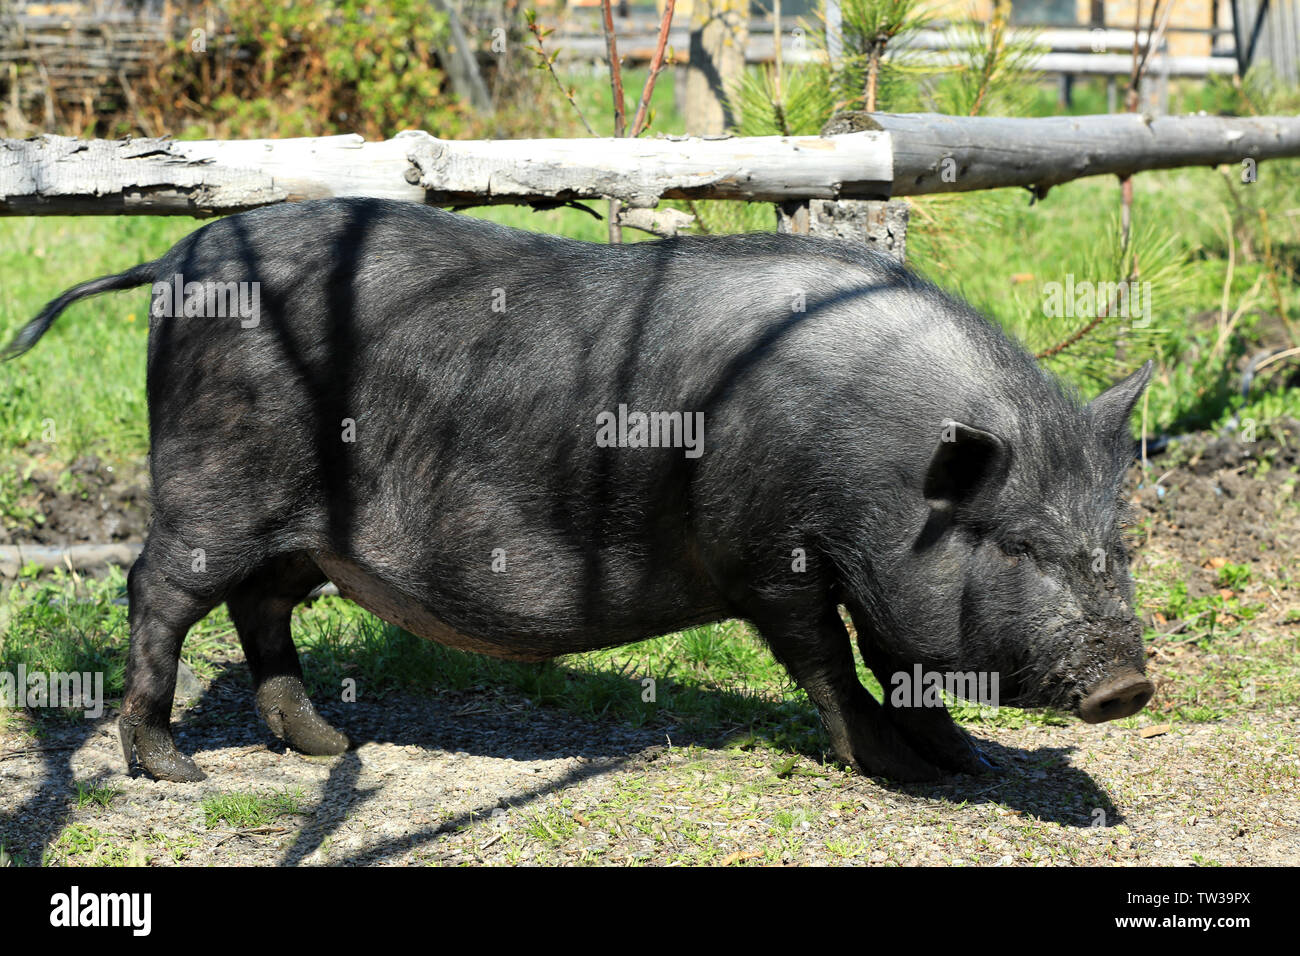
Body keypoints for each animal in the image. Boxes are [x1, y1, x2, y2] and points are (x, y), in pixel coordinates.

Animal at [4, 197, 1154, 783]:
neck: (881, 461)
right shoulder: (770, 552)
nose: (1127, 686)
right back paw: (173, 768)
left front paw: (961, 757)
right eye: (1016, 542)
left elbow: (894, 655)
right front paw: (896, 769)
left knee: (259, 606)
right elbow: (829, 659)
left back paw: (329, 745)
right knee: (157, 590)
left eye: (1116, 542)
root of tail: (174, 252)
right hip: (212, 486)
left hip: (303, 529)